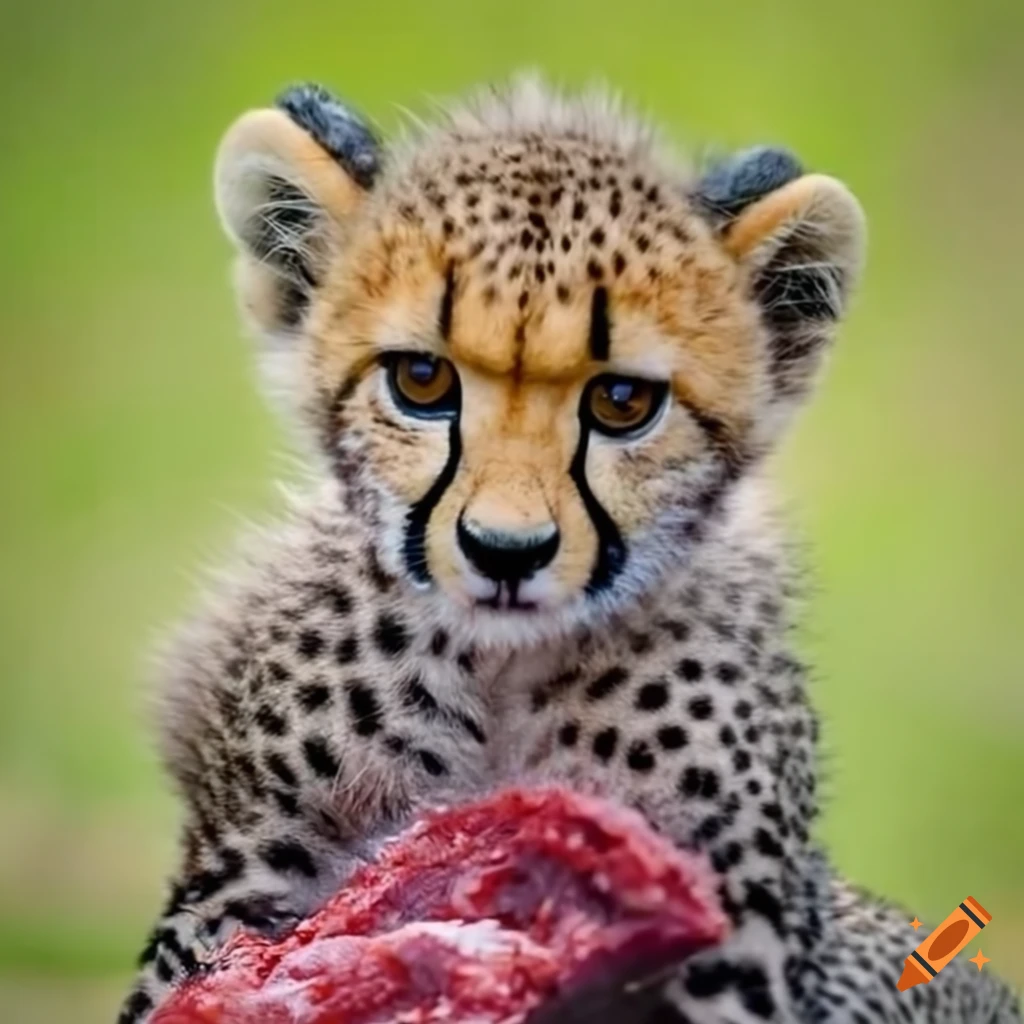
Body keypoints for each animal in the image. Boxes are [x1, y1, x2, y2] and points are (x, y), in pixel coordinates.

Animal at [118, 76, 1021, 1023]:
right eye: (421, 381)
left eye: (624, 401)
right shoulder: (240, 875)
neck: (500, 670)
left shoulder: (739, 936)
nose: (506, 551)